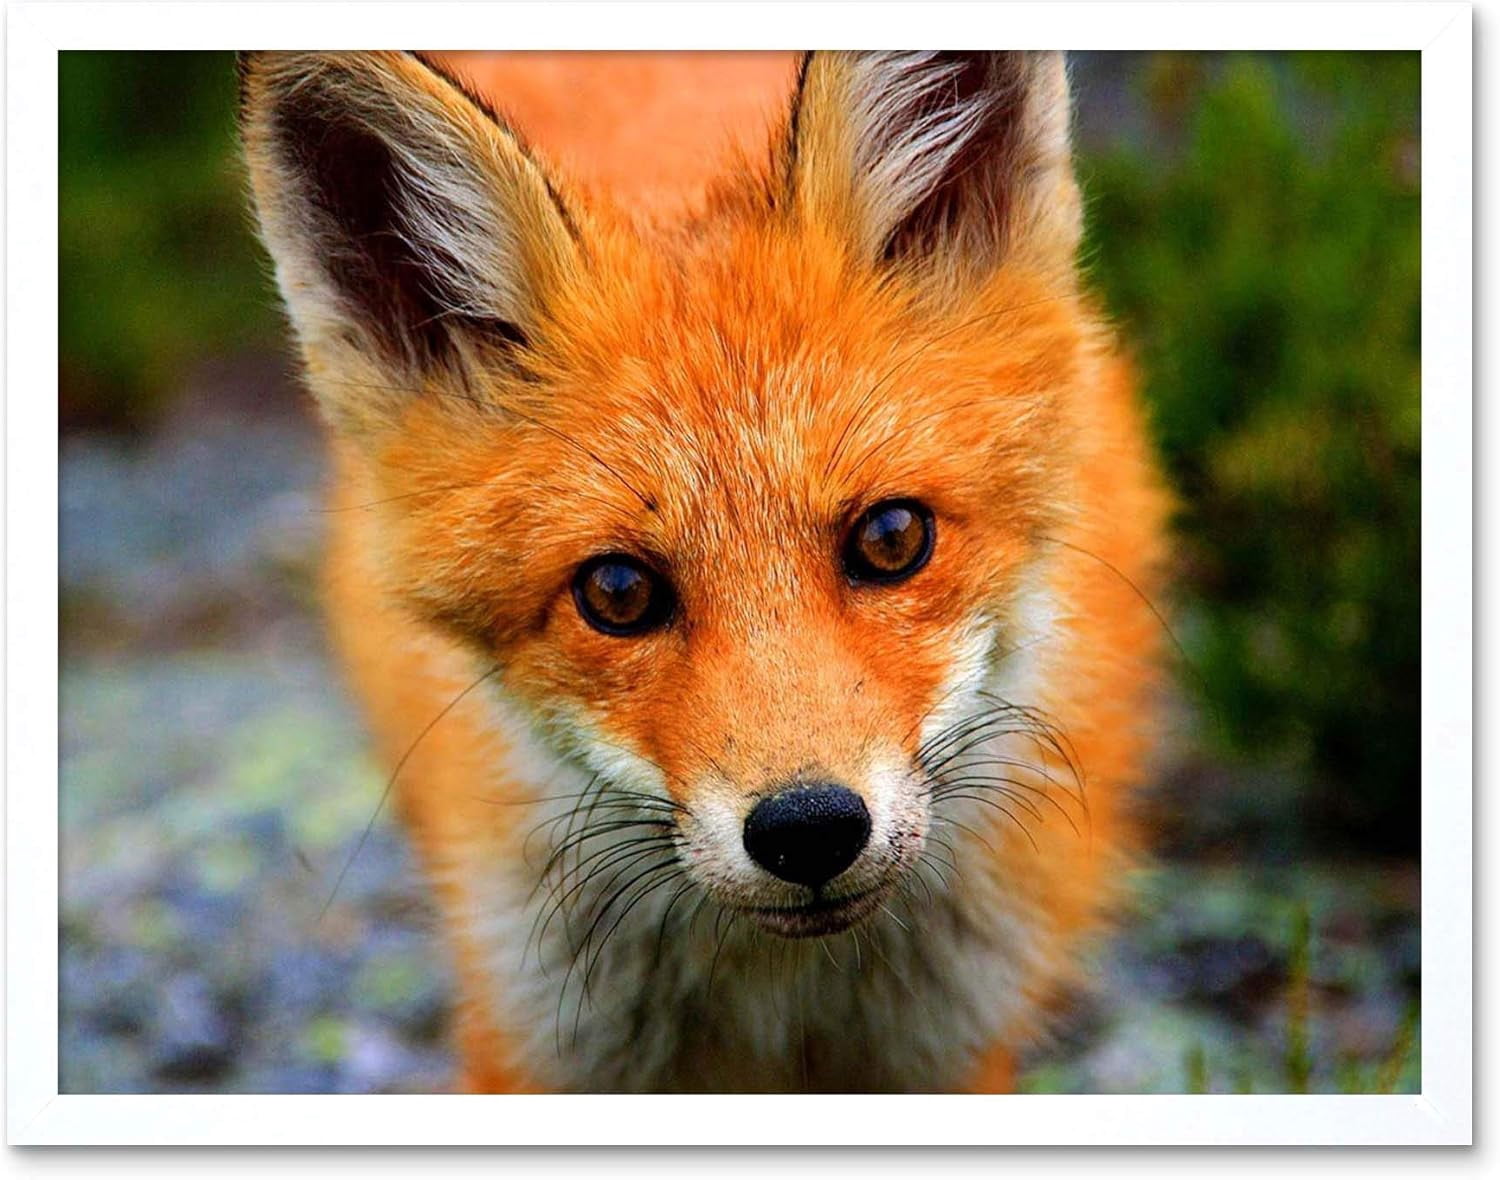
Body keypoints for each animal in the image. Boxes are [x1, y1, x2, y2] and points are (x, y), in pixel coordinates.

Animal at [239, 49, 1168, 1093]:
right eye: (617, 593)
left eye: (892, 537)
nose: (808, 828)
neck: (781, 1003)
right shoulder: (535, 1043)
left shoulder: (950, 1046)